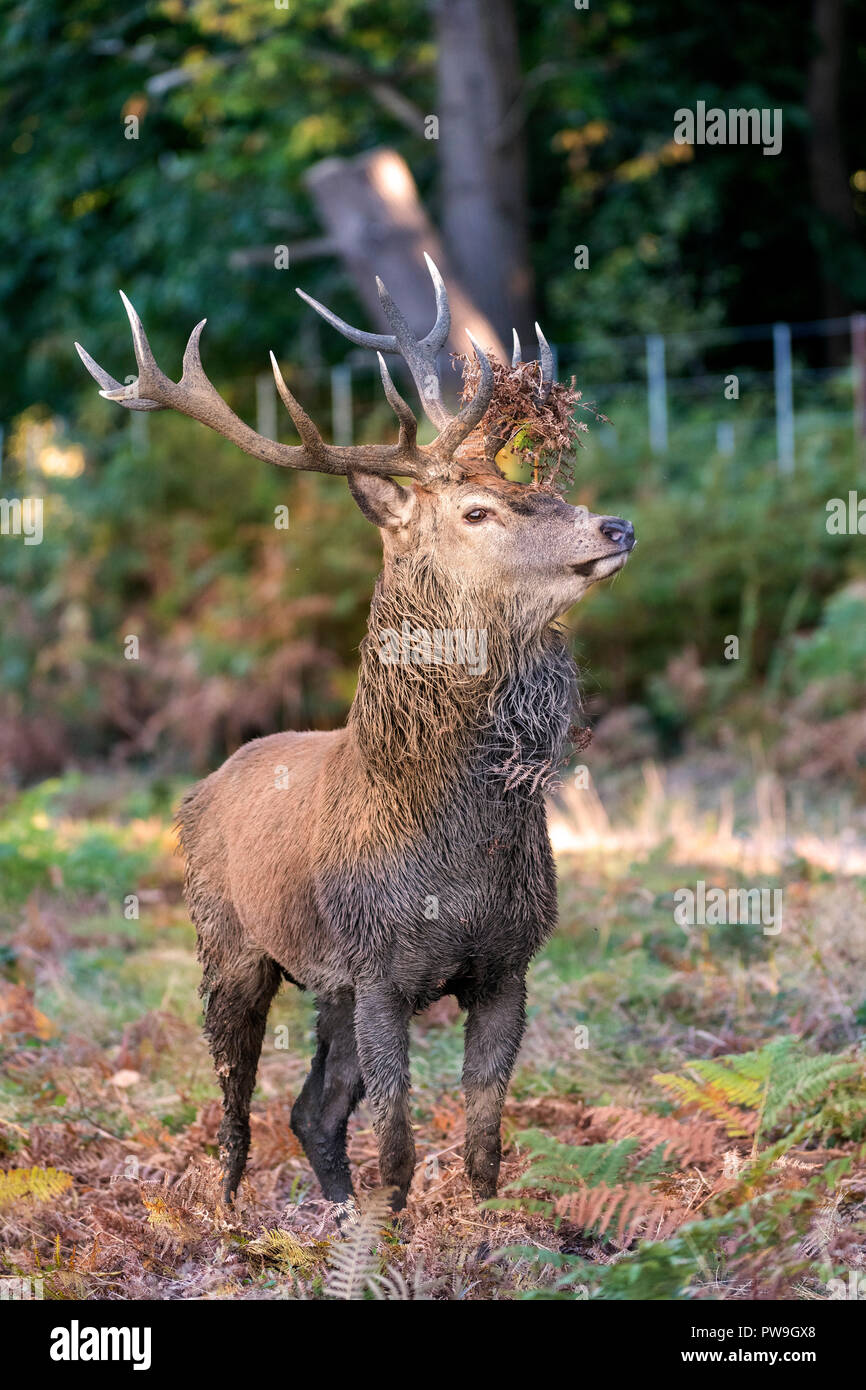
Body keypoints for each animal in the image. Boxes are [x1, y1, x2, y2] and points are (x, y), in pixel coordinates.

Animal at [75, 256, 635, 1215]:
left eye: (545, 489)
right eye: (478, 511)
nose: (616, 525)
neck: (458, 859)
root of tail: (205, 782)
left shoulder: (508, 964)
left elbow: (483, 1139)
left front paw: (484, 1228)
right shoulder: (379, 968)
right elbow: (400, 1142)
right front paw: (393, 1229)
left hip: (325, 982)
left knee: (312, 1110)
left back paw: (333, 1214)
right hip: (230, 942)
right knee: (235, 1101)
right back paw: (231, 1215)